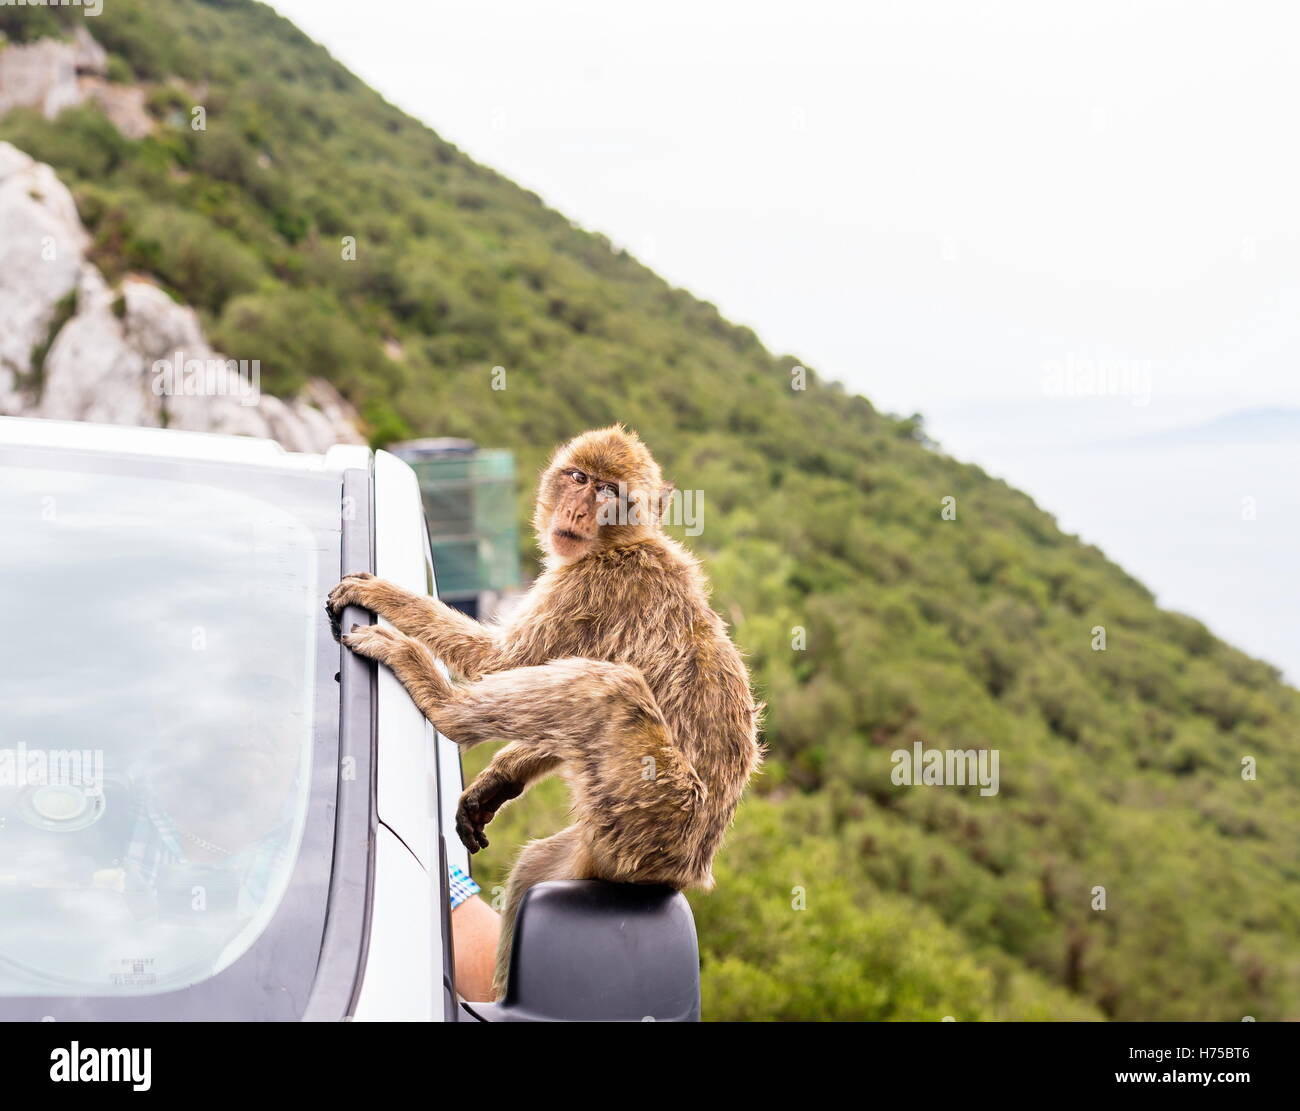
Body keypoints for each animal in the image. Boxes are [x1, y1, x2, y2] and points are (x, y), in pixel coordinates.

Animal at [326, 425, 762, 999]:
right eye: (579, 477)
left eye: (608, 492)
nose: (577, 508)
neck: (622, 543)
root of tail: (687, 868)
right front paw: (500, 780)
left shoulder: (586, 586)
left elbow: (501, 661)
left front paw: (383, 595)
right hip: (608, 839)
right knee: (537, 865)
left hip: (655, 806)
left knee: (608, 686)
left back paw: (445, 705)